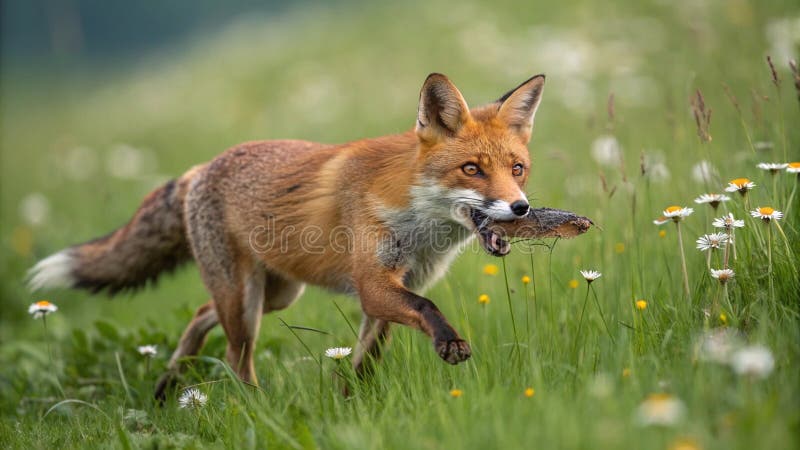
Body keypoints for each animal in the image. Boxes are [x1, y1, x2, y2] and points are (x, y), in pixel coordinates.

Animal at [28, 73, 548, 399]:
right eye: (472, 169)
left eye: (517, 169)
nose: (520, 207)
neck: (417, 221)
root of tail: (199, 170)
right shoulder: (375, 285)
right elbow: (427, 309)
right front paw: (449, 343)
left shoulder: (393, 291)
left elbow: (365, 363)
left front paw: (349, 404)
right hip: (246, 302)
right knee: (237, 359)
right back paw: (254, 407)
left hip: (276, 294)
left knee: (199, 315)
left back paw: (169, 384)